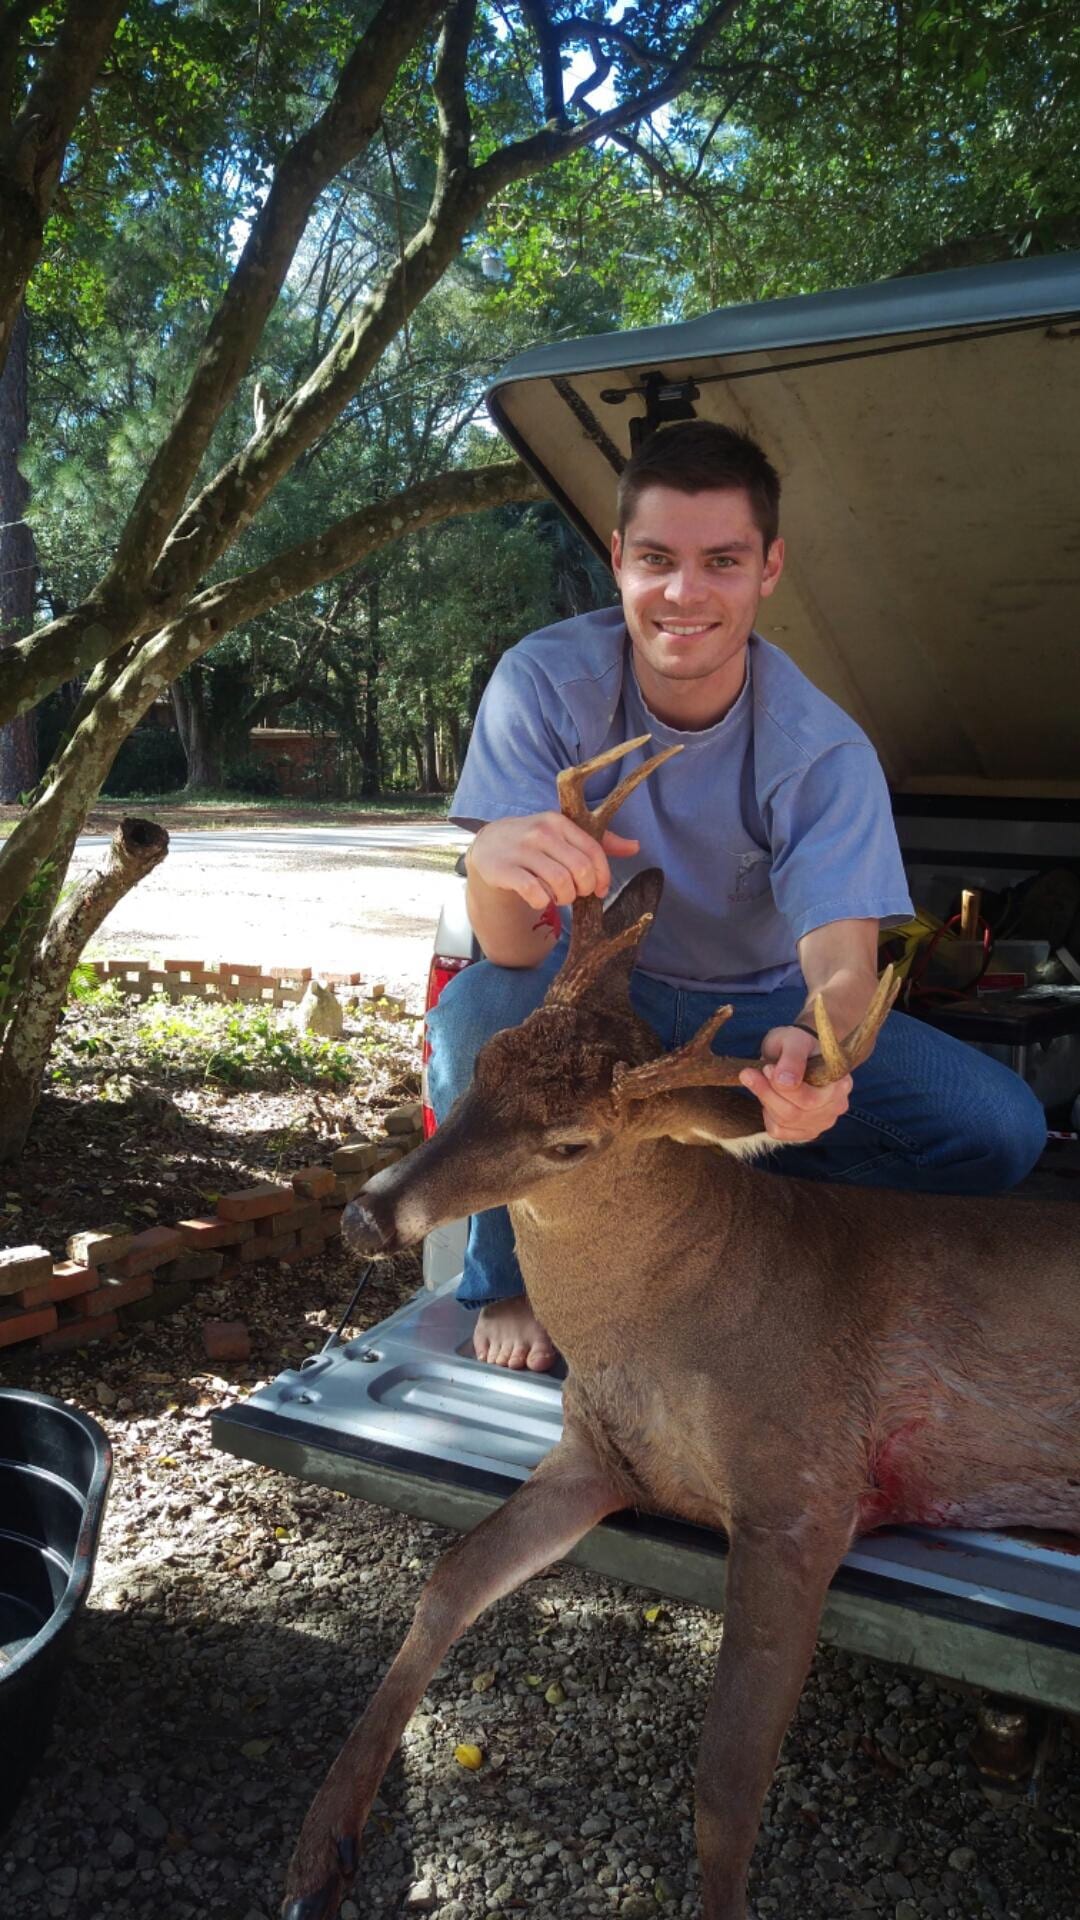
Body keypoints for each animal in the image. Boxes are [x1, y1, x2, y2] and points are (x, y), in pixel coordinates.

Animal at [281, 737, 1080, 1920]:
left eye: (570, 1142)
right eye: (488, 1056)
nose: (366, 1214)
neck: (672, 1328)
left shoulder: (806, 1488)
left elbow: (727, 1782)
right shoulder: (594, 1456)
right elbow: (446, 1583)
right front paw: (317, 1851)